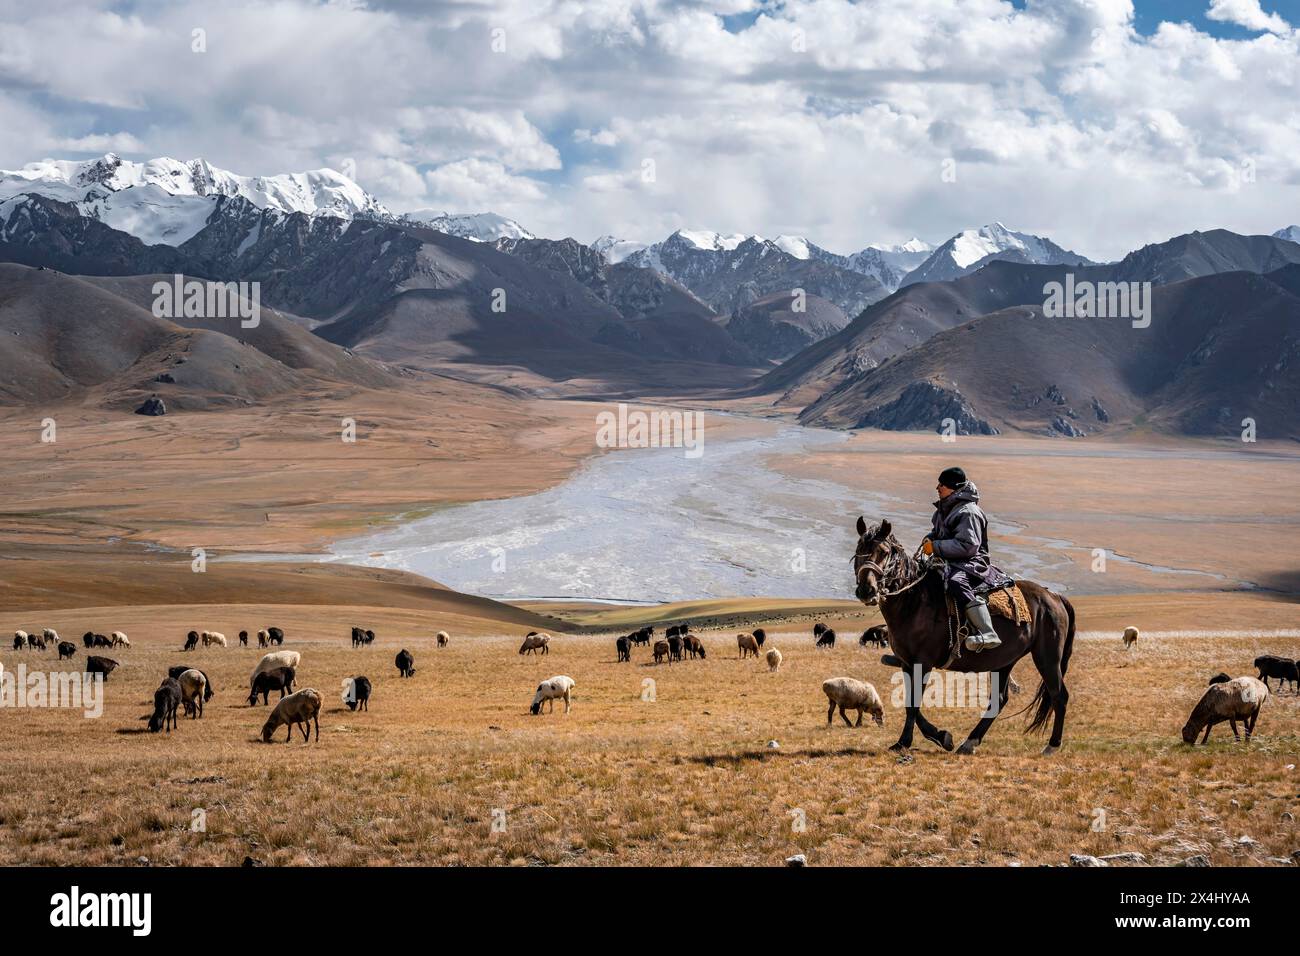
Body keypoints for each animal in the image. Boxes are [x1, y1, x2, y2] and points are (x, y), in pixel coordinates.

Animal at [851, 517, 1075, 756]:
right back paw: (970, 742)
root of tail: (1054, 597)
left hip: (1047, 658)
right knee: (1000, 699)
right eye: (859, 550)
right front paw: (937, 737)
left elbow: (914, 703)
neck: (913, 602)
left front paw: (915, 740)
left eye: (884, 552)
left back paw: (1051, 746)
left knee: (1059, 695)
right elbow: (911, 702)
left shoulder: (923, 662)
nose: (866, 590)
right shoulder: (906, 663)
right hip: (1005, 661)